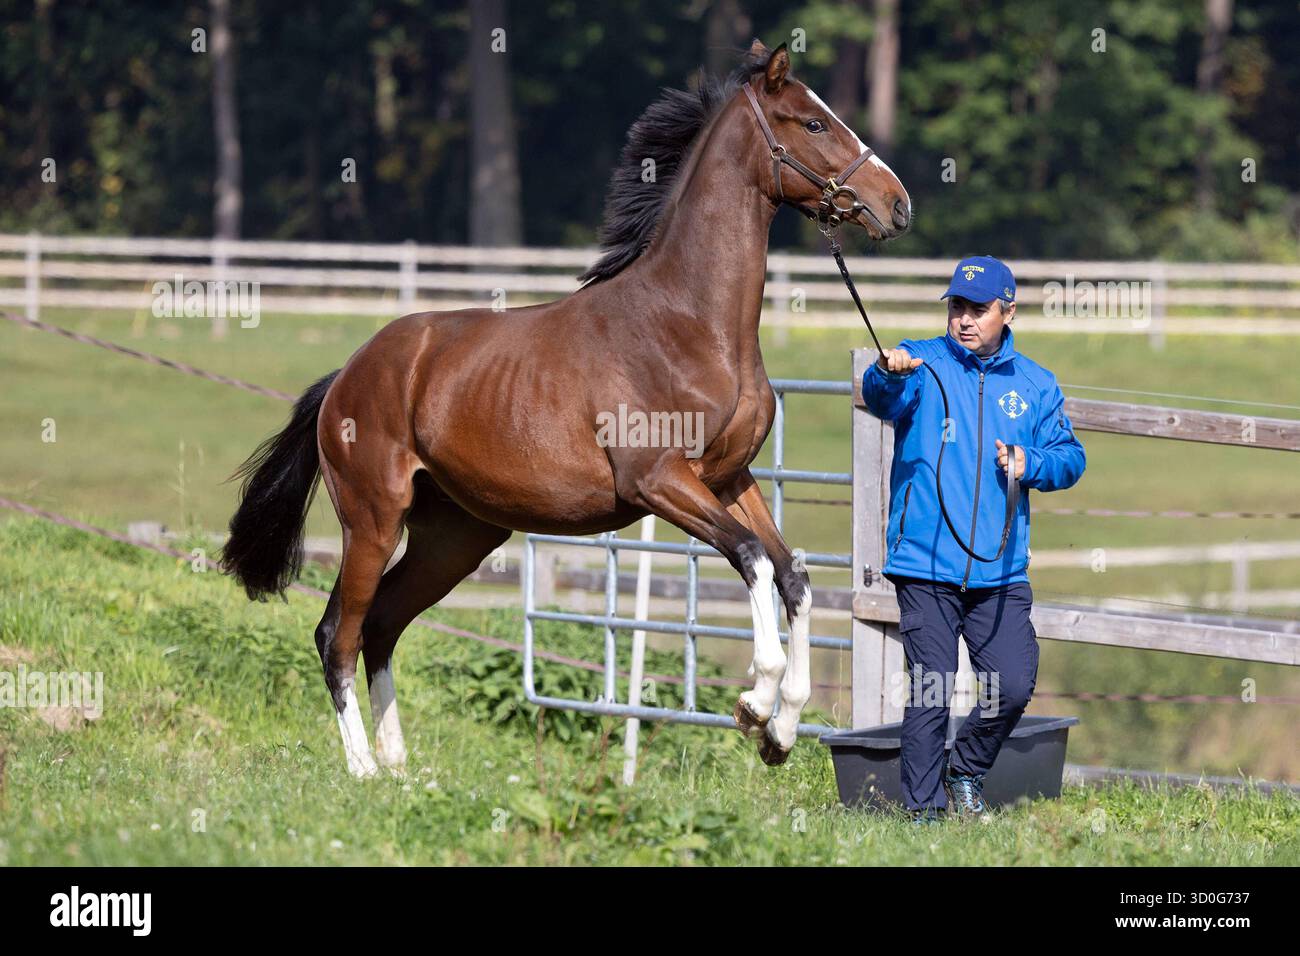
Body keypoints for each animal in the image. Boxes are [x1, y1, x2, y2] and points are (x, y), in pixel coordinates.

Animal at [221, 39, 911, 777]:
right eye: (813, 123)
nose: (897, 204)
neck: (688, 323)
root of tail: (346, 377)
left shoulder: (730, 478)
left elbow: (794, 576)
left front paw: (779, 733)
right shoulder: (659, 482)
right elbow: (752, 558)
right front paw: (754, 705)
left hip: (454, 538)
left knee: (380, 626)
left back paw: (402, 770)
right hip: (373, 521)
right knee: (338, 634)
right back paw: (363, 771)